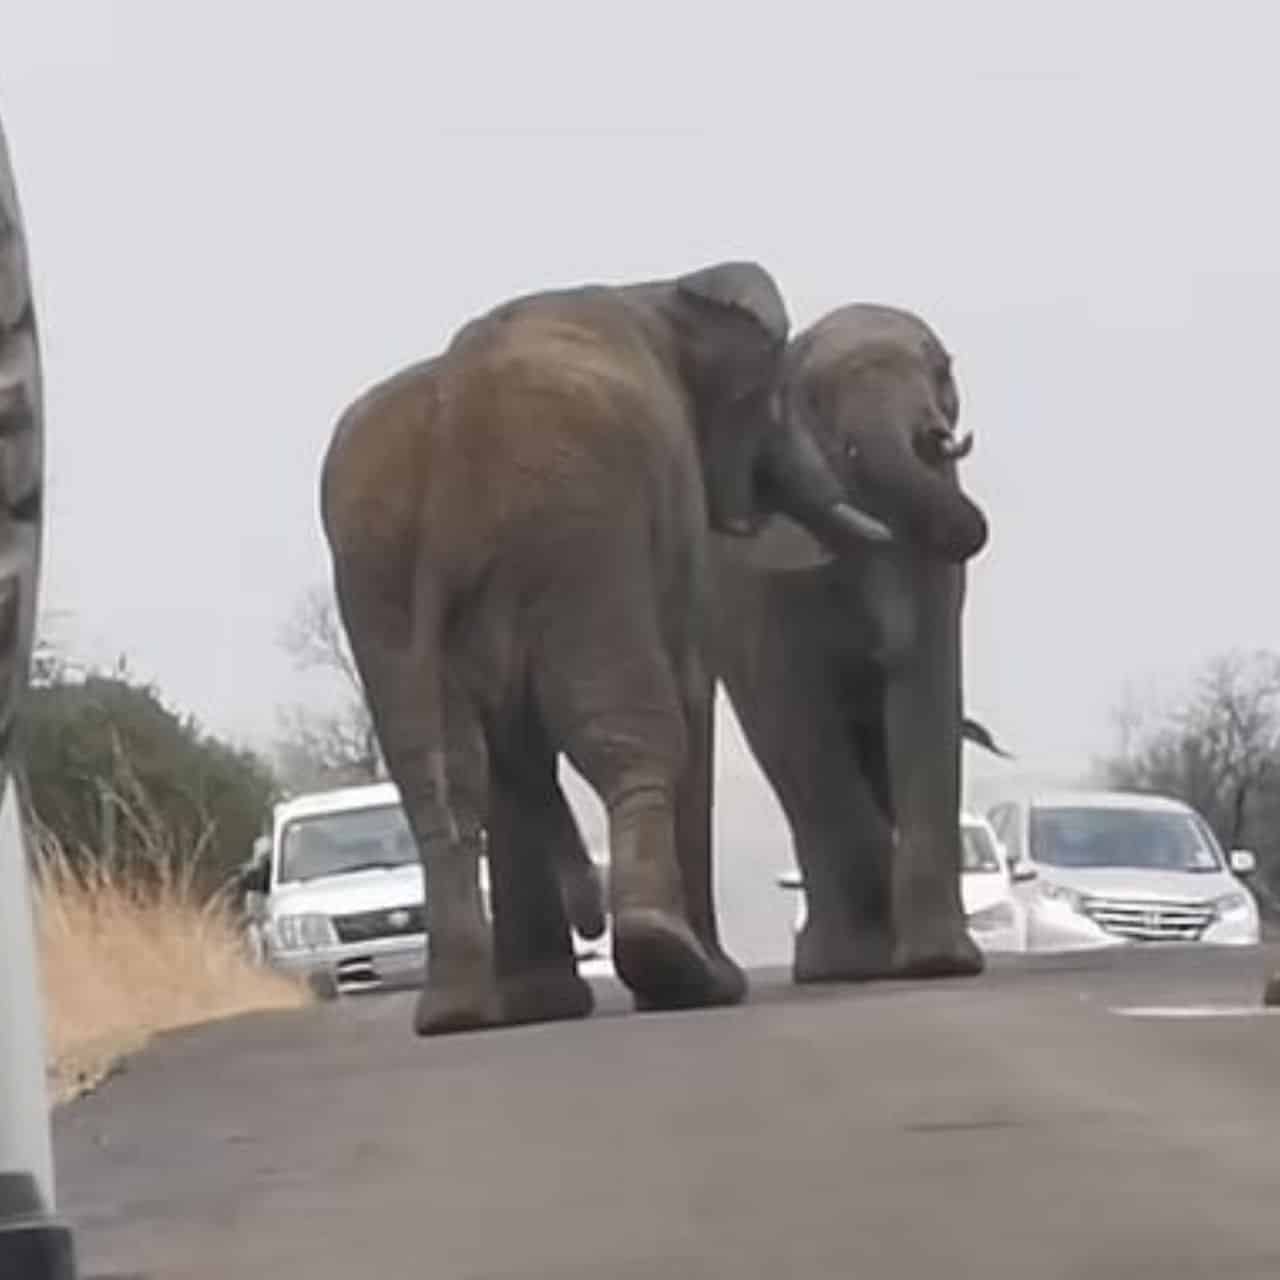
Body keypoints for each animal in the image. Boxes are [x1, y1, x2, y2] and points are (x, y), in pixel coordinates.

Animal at [320, 262, 894, 1035]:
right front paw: (710, 982)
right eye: (775, 402)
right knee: (630, 733)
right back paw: (672, 966)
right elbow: (688, 692)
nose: (588, 914)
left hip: (378, 571)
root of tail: (454, 426)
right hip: (585, 528)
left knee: (440, 774)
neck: (663, 290)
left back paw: (455, 1013)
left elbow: (513, 757)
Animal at [714, 302, 992, 982]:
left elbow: (924, 694)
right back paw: (834, 964)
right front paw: (863, 963)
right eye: (815, 398)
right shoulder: (768, 581)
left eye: (941, 368)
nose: (934, 435)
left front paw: (940, 964)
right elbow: (801, 714)